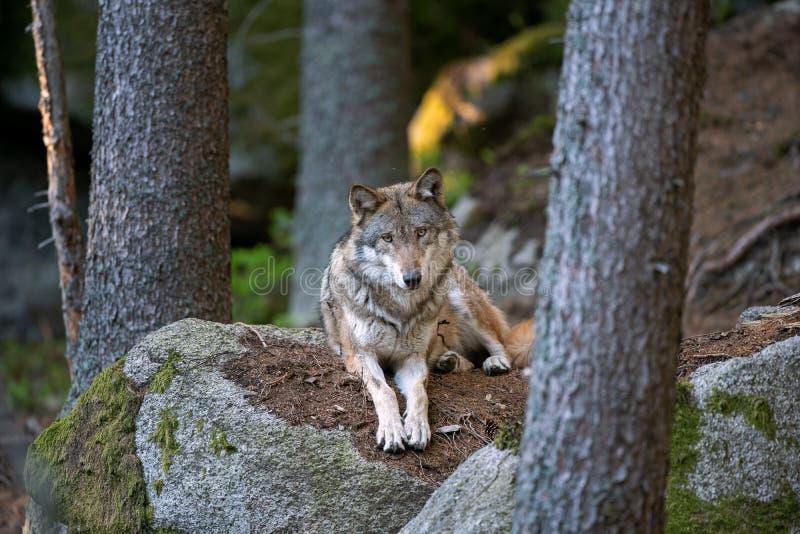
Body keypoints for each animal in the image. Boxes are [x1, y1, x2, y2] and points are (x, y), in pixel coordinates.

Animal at [320, 168, 534, 452]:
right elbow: (384, 390)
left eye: (420, 232)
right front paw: (392, 431)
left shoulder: (411, 358)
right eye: (388, 238)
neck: (400, 308)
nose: (412, 278)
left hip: (457, 296)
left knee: (502, 345)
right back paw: (448, 361)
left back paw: (494, 362)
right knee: (466, 359)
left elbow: (420, 392)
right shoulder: (360, 354)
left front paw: (417, 427)